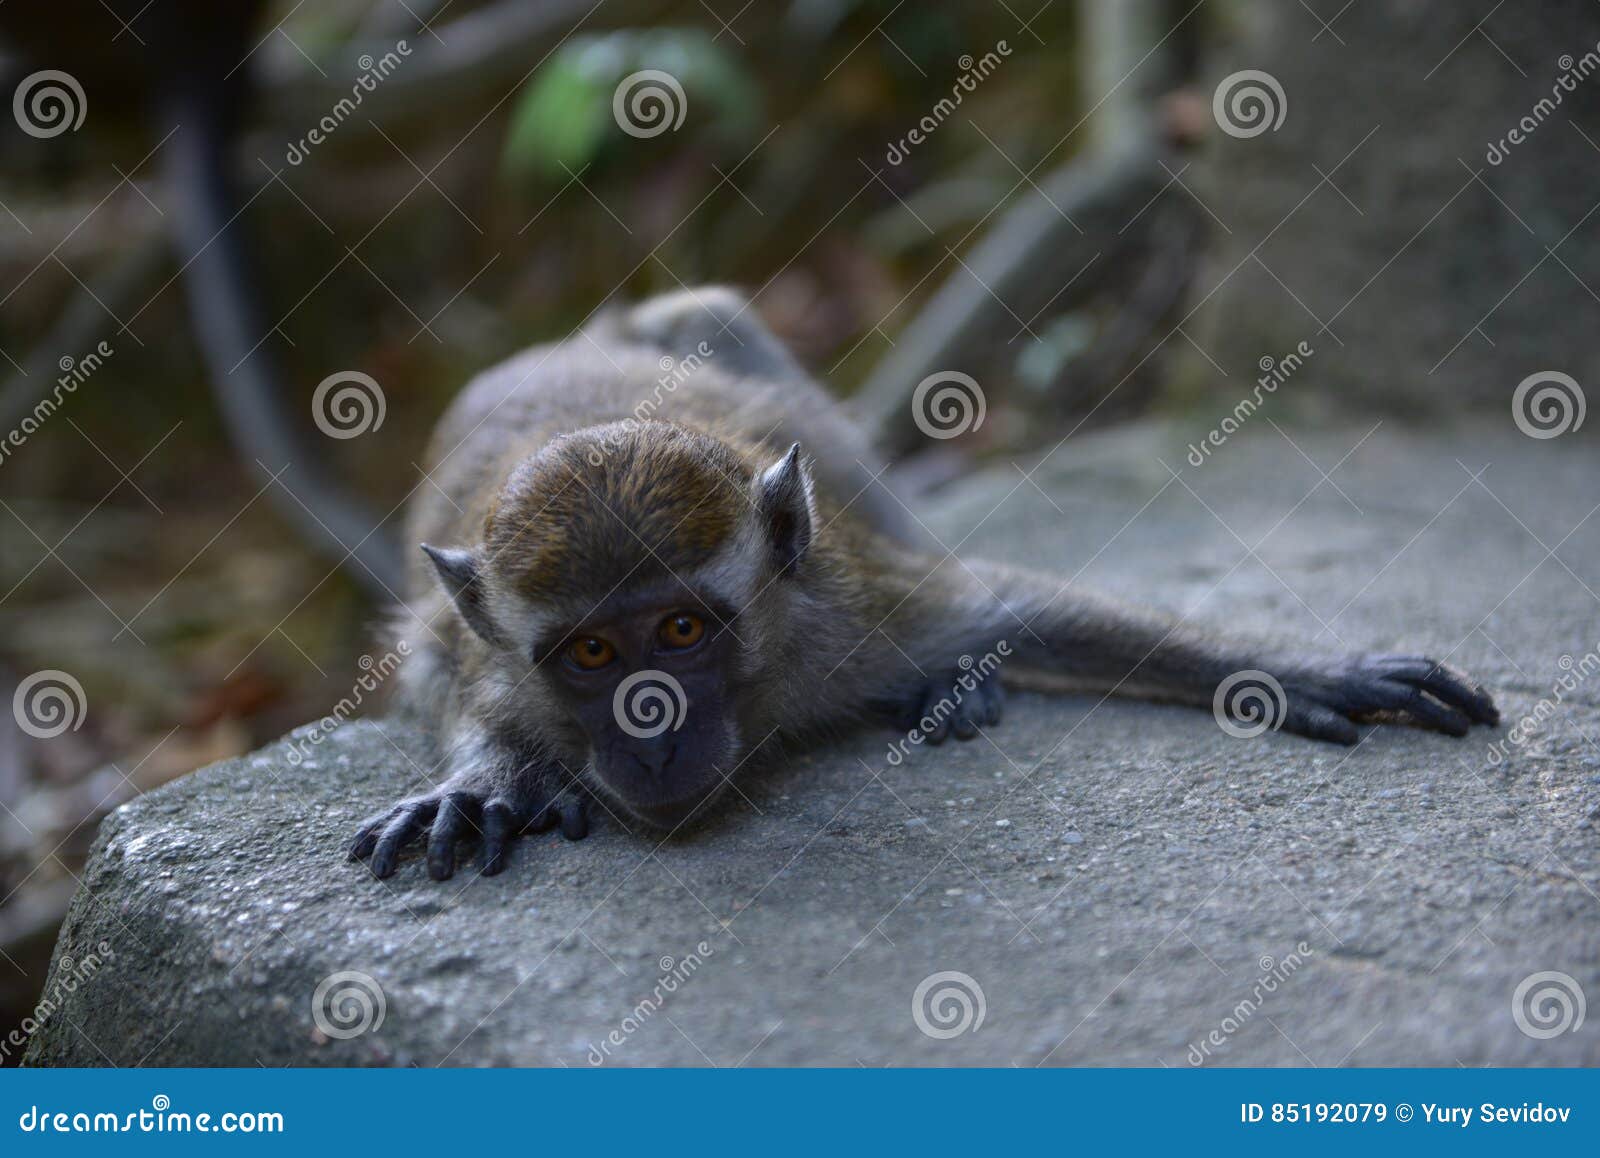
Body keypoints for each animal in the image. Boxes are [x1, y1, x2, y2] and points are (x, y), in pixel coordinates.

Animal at [351, 286, 1499, 881]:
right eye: (591, 652)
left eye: (680, 632)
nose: (654, 736)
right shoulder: (483, 650)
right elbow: (449, 681)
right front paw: (484, 782)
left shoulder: (845, 616)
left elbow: (1011, 609)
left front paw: (1299, 669)